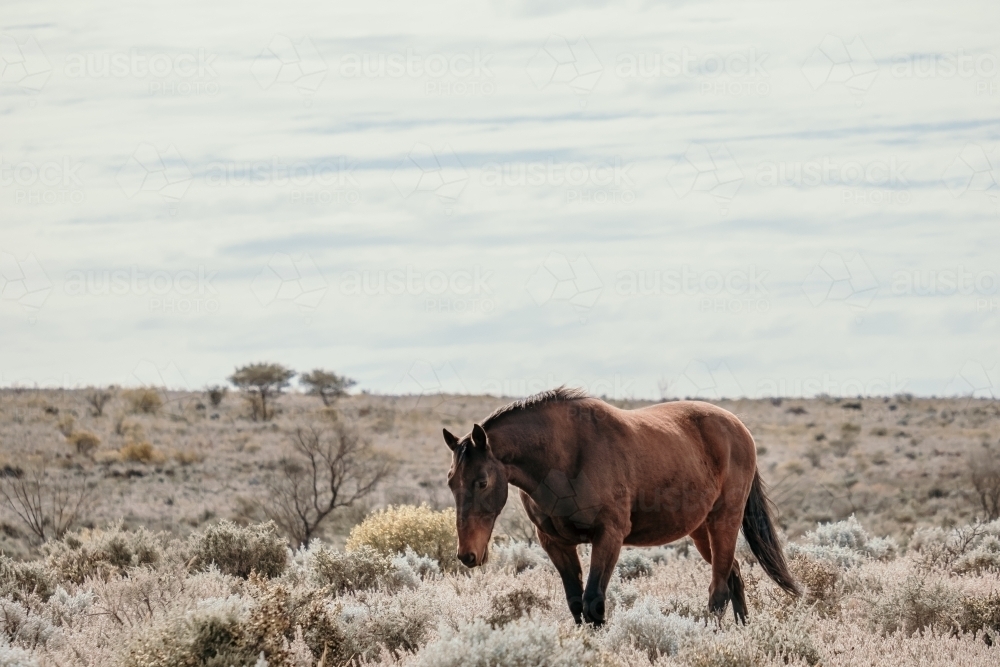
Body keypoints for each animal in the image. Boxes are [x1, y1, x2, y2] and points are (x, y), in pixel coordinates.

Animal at [443, 387, 799, 626]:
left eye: (482, 482)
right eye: (451, 481)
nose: (467, 555)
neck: (565, 456)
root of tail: (738, 427)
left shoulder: (609, 536)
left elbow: (594, 604)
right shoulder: (555, 543)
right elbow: (577, 605)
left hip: (724, 520)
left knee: (719, 589)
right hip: (701, 530)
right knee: (733, 574)